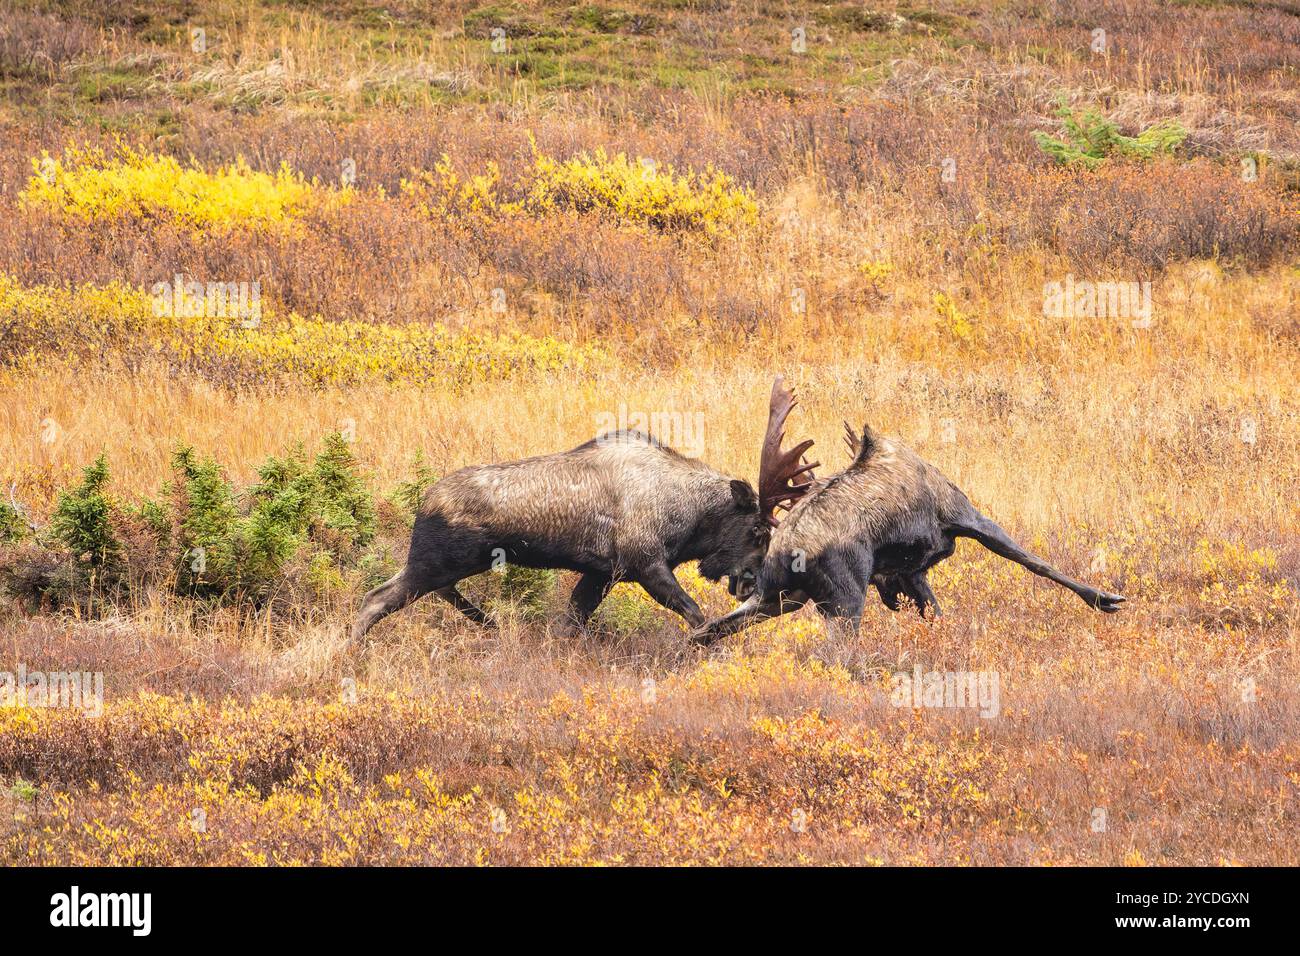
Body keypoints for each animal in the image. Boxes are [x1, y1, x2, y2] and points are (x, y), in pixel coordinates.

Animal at [350, 378, 817, 645]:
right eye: (757, 531)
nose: (755, 582)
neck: (686, 518)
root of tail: (422, 503)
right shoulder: (645, 563)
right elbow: (696, 615)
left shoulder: (601, 573)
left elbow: (572, 623)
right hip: (437, 561)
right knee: (374, 599)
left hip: (447, 564)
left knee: (427, 593)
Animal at [692, 414, 1126, 644]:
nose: (738, 581)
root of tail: (782, 554)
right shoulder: (963, 515)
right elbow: (1034, 561)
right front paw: (1105, 598)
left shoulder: (910, 572)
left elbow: (937, 614)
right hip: (844, 599)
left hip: (781, 597)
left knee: (709, 630)